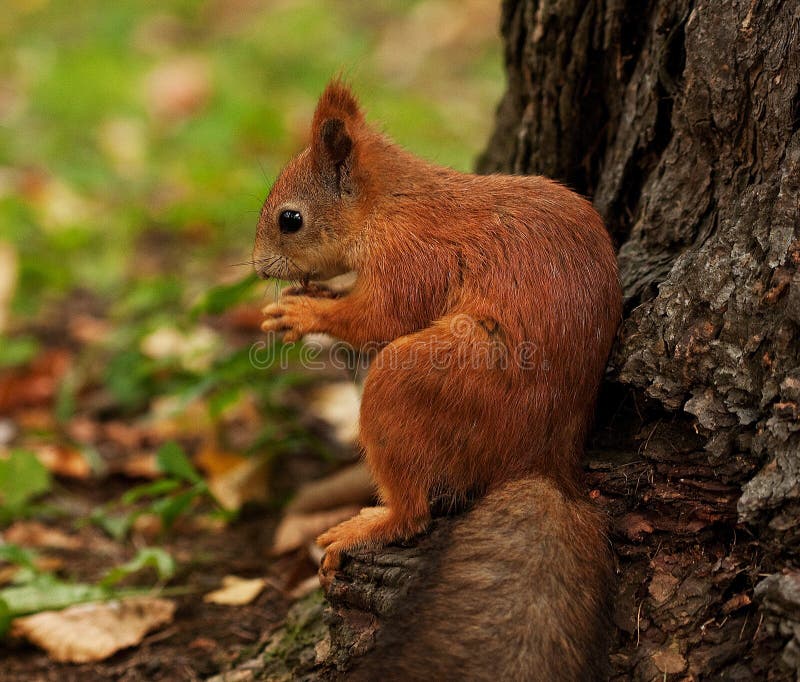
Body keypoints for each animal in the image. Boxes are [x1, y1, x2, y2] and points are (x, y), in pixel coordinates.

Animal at [254, 79, 622, 680]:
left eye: (291, 219)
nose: (260, 265)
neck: (390, 204)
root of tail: (545, 461)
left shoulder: (413, 258)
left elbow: (380, 316)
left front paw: (306, 313)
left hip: (418, 380)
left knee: (414, 513)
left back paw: (365, 526)